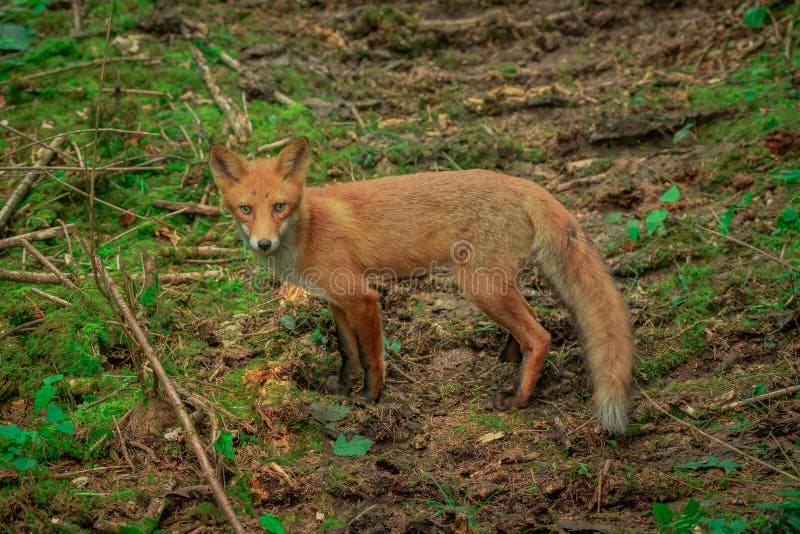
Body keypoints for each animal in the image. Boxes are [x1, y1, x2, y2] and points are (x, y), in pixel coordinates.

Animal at [209, 137, 634, 434]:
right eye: (246, 209)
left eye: (279, 207)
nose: (263, 244)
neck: (309, 228)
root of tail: (523, 183)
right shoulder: (335, 301)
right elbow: (347, 352)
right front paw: (344, 389)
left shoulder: (361, 297)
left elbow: (371, 358)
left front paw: (371, 398)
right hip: (495, 283)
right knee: (528, 320)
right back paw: (509, 360)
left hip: (479, 286)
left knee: (541, 335)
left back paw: (516, 398)